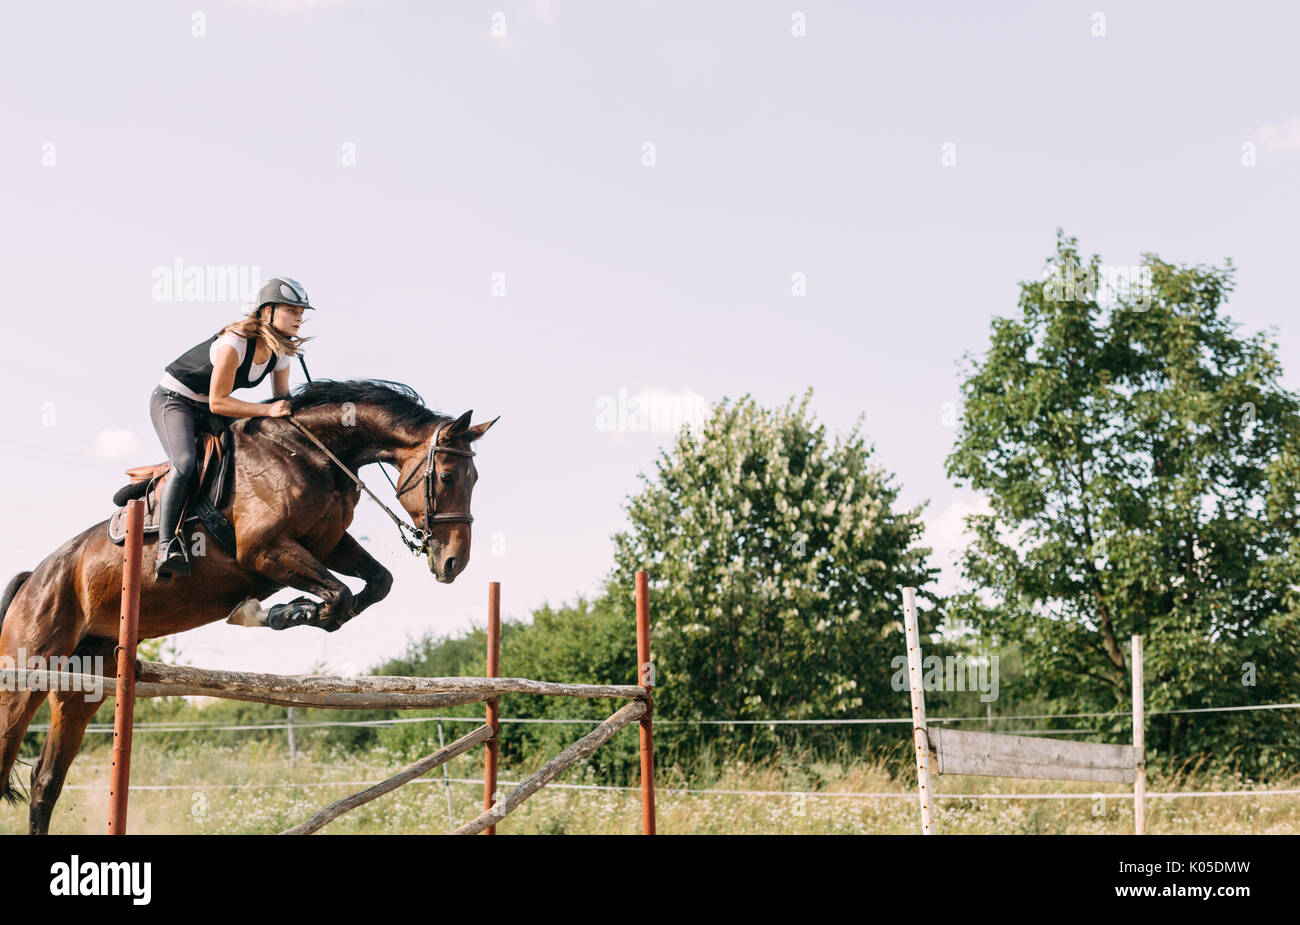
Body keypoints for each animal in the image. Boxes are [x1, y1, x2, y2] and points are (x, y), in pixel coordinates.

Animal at [0, 378, 496, 834]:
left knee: (46, 780)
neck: (311, 455)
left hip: (84, 682)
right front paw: (275, 612)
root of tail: (33, 579)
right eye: (447, 477)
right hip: (26, 674)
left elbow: (374, 585)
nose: (453, 563)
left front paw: (293, 612)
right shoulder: (265, 551)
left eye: (475, 479)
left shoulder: (328, 544)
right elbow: (338, 594)